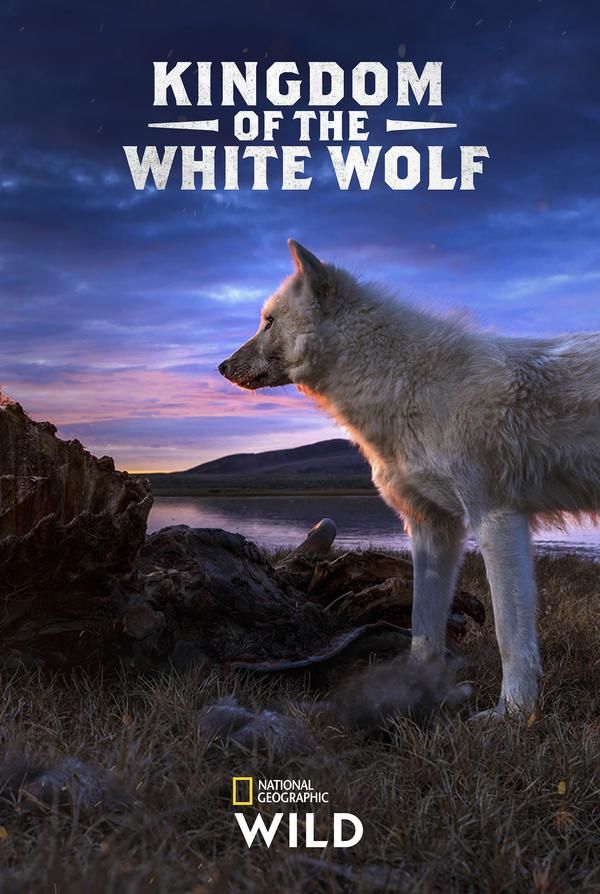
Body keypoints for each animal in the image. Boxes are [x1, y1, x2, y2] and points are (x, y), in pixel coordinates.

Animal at [218, 240, 600, 717]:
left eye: (268, 321)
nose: (222, 366)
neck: (405, 384)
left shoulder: (496, 519)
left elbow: (509, 636)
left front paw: (510, 714)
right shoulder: (431, 528)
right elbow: (422, 626)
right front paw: (411, 690)